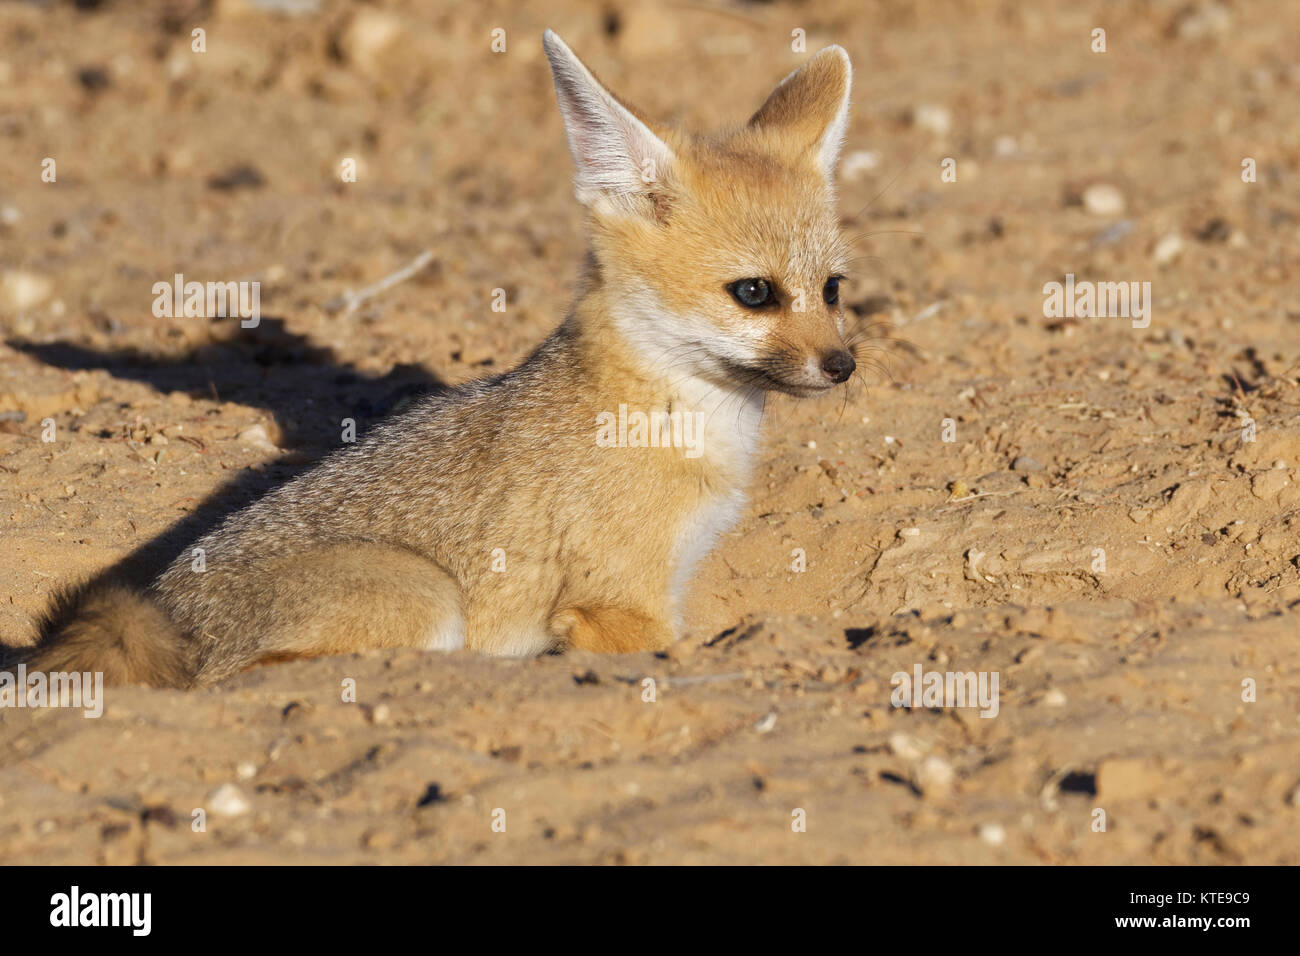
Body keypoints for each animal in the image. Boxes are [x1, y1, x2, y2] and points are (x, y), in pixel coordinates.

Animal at [25, 31, 858, 688]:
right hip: (430, 597)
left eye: (832, 289)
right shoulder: (620, 606)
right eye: (754, 293)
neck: (671, 418)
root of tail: (167, 611)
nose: (843, 366)